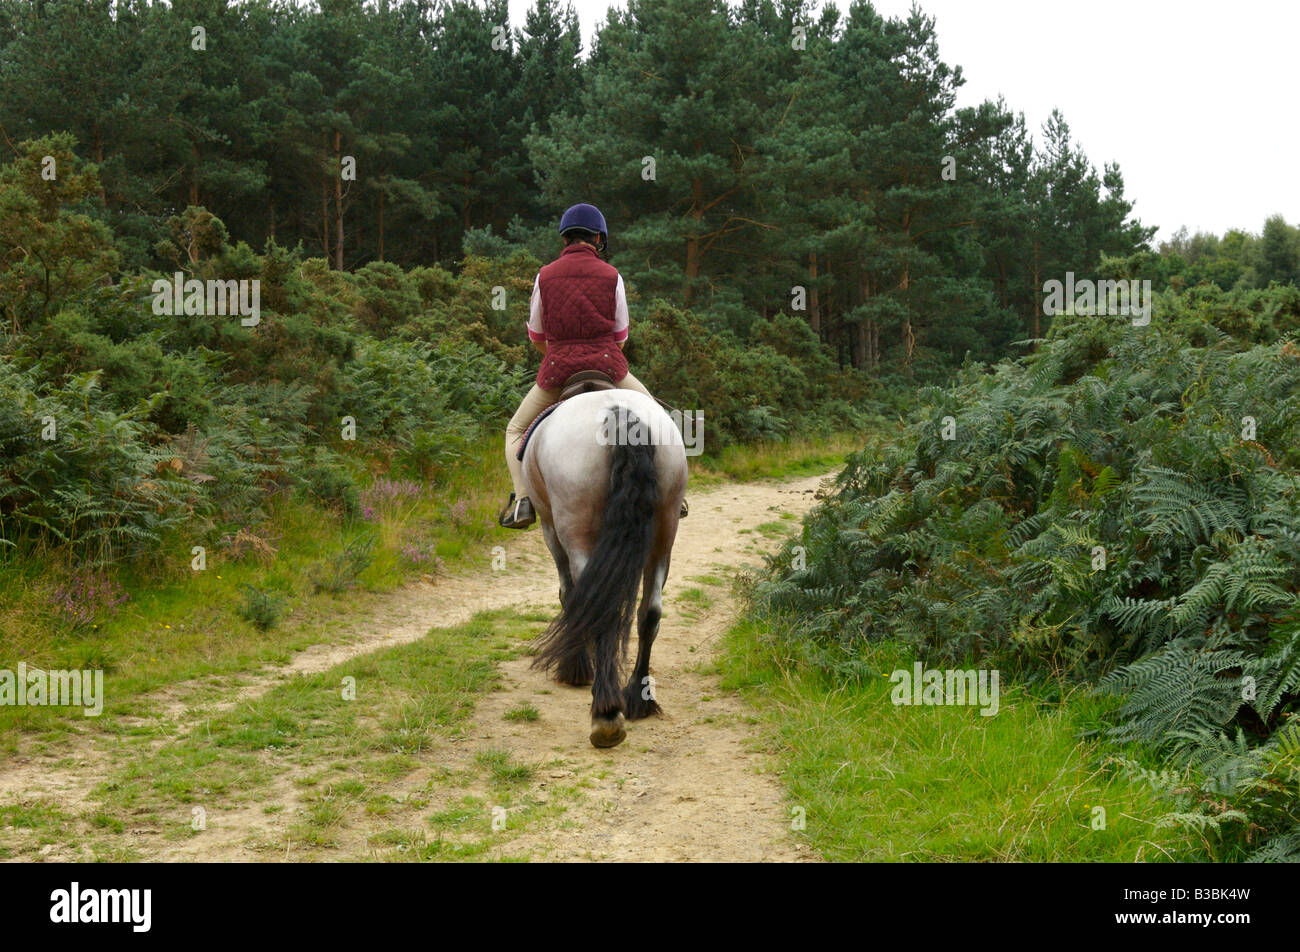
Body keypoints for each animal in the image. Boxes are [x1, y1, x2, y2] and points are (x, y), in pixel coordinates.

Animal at [522, 387, 688, 749]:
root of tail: (618, 411)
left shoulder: (551, 532)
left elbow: (569, 595)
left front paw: (575, 667)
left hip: (575, 530)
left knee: (600, 609)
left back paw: (606, 715)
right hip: (664, 535)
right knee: (650, 612)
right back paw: (638, 697)